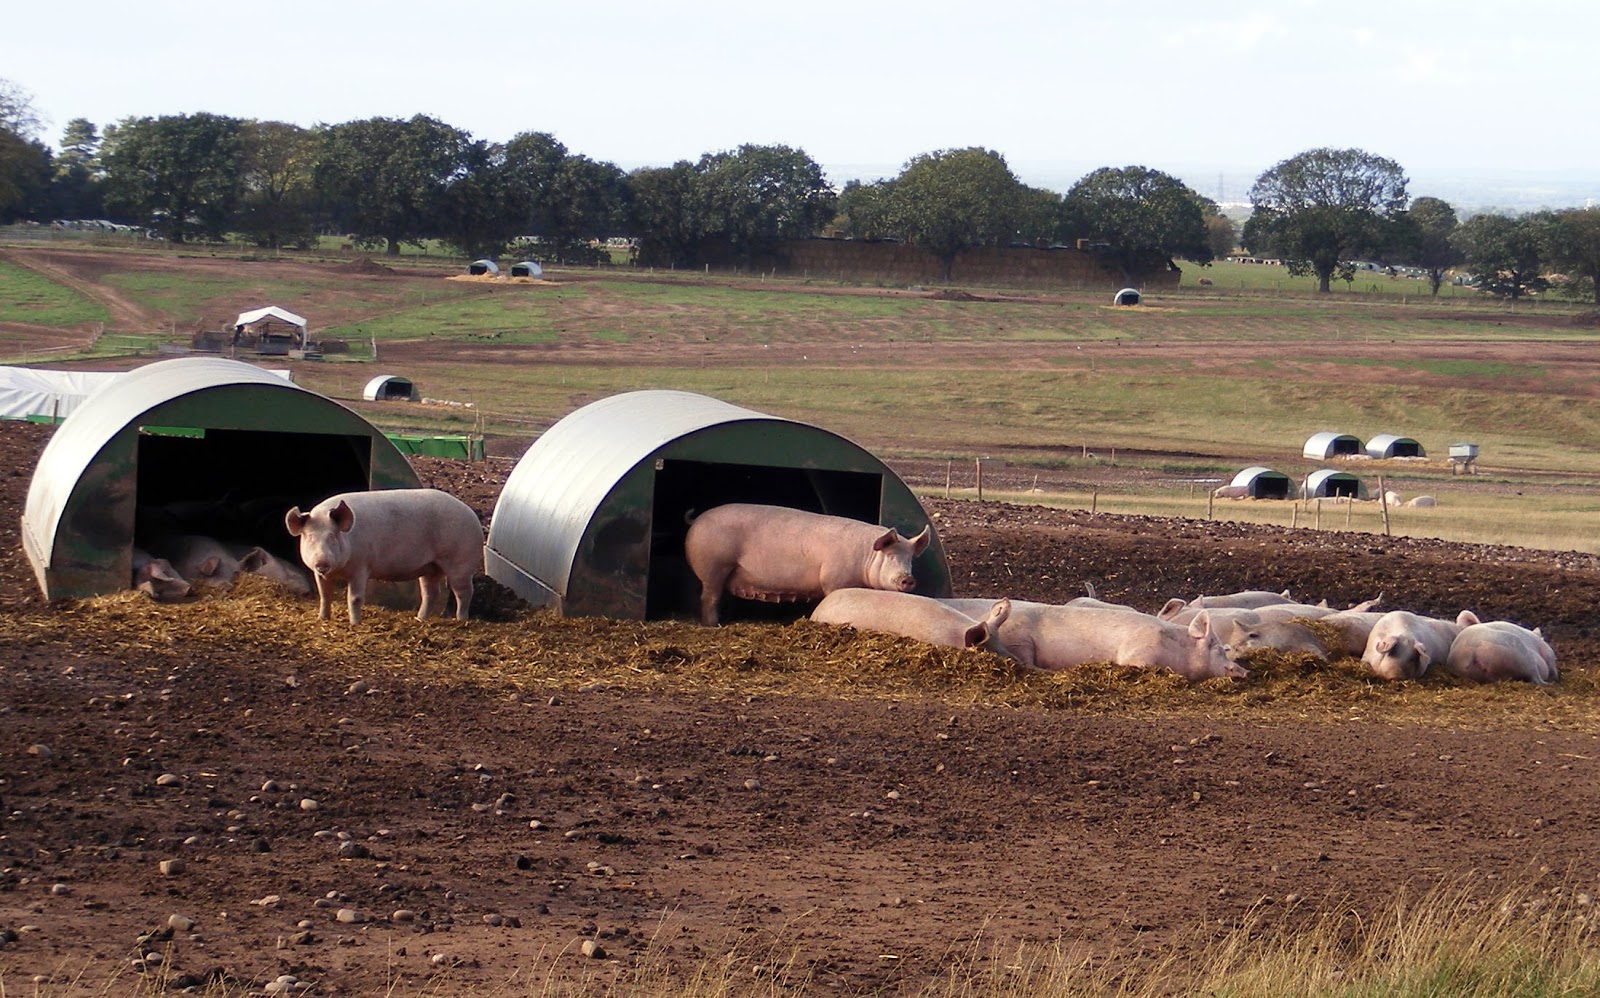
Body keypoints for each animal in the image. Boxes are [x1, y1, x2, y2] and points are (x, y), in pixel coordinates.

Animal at [284, 488, 485, 627]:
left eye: (332, 537)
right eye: (310, 537)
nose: (322, 563)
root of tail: (472, 514)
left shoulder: (361, 567)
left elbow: (355, 598)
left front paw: (355, 624)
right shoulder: (319, 575)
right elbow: (325, 595)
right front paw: (322, 619)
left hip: (461, 563)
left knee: (464, 592)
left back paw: (461, 620)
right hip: (430, 567)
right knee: (431, 592)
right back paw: (419, 619)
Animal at [684, 503, 932, 626]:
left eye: (910, 559)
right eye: (890, 557)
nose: (908, 578)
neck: (866, 557)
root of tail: (697, 520)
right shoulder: (834, 579)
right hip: (714, 566)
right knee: (710, 597)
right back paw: (713, 625)